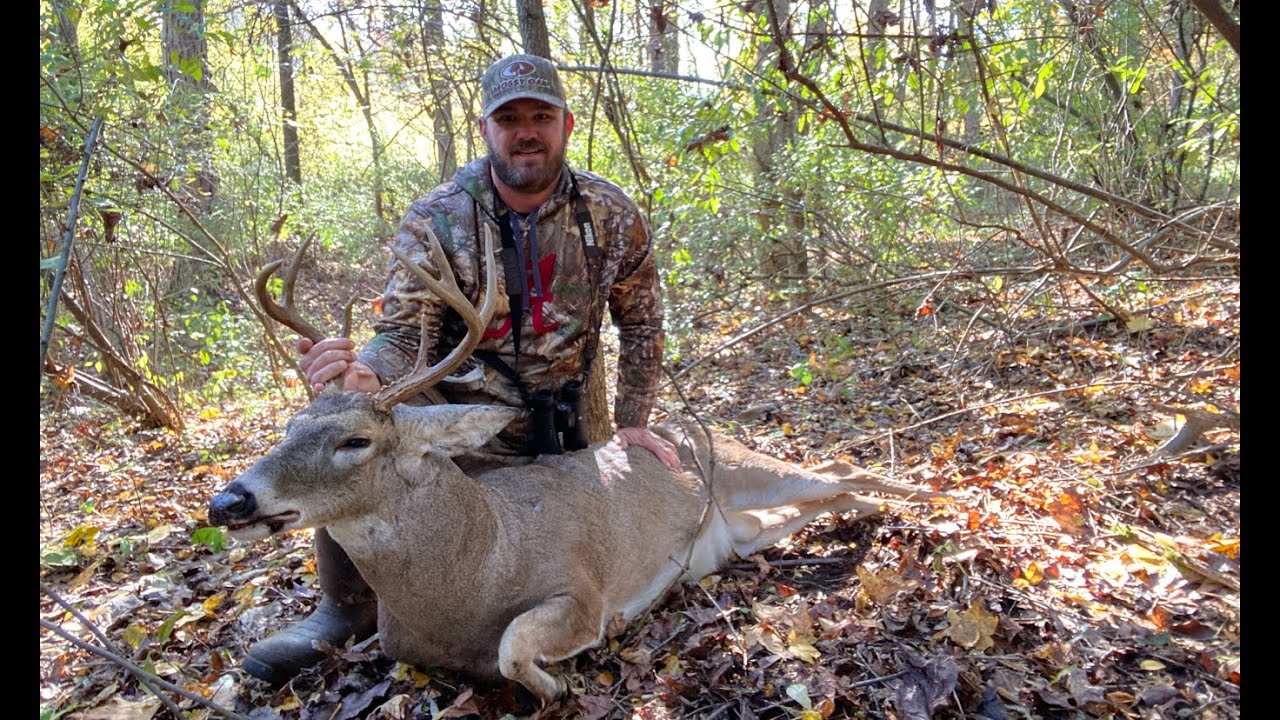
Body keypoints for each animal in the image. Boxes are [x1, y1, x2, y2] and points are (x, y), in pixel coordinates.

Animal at [208, 227, 937, 703]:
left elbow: (512, 650)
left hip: (742, 465)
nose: (228, 501)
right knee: (819, 500)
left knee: (846, 471)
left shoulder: (579, 586)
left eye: (355, 441)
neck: (476, 565)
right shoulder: (401, 641)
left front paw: (556, 683)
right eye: (287, 428)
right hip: (741, 531)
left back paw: (940, 503)